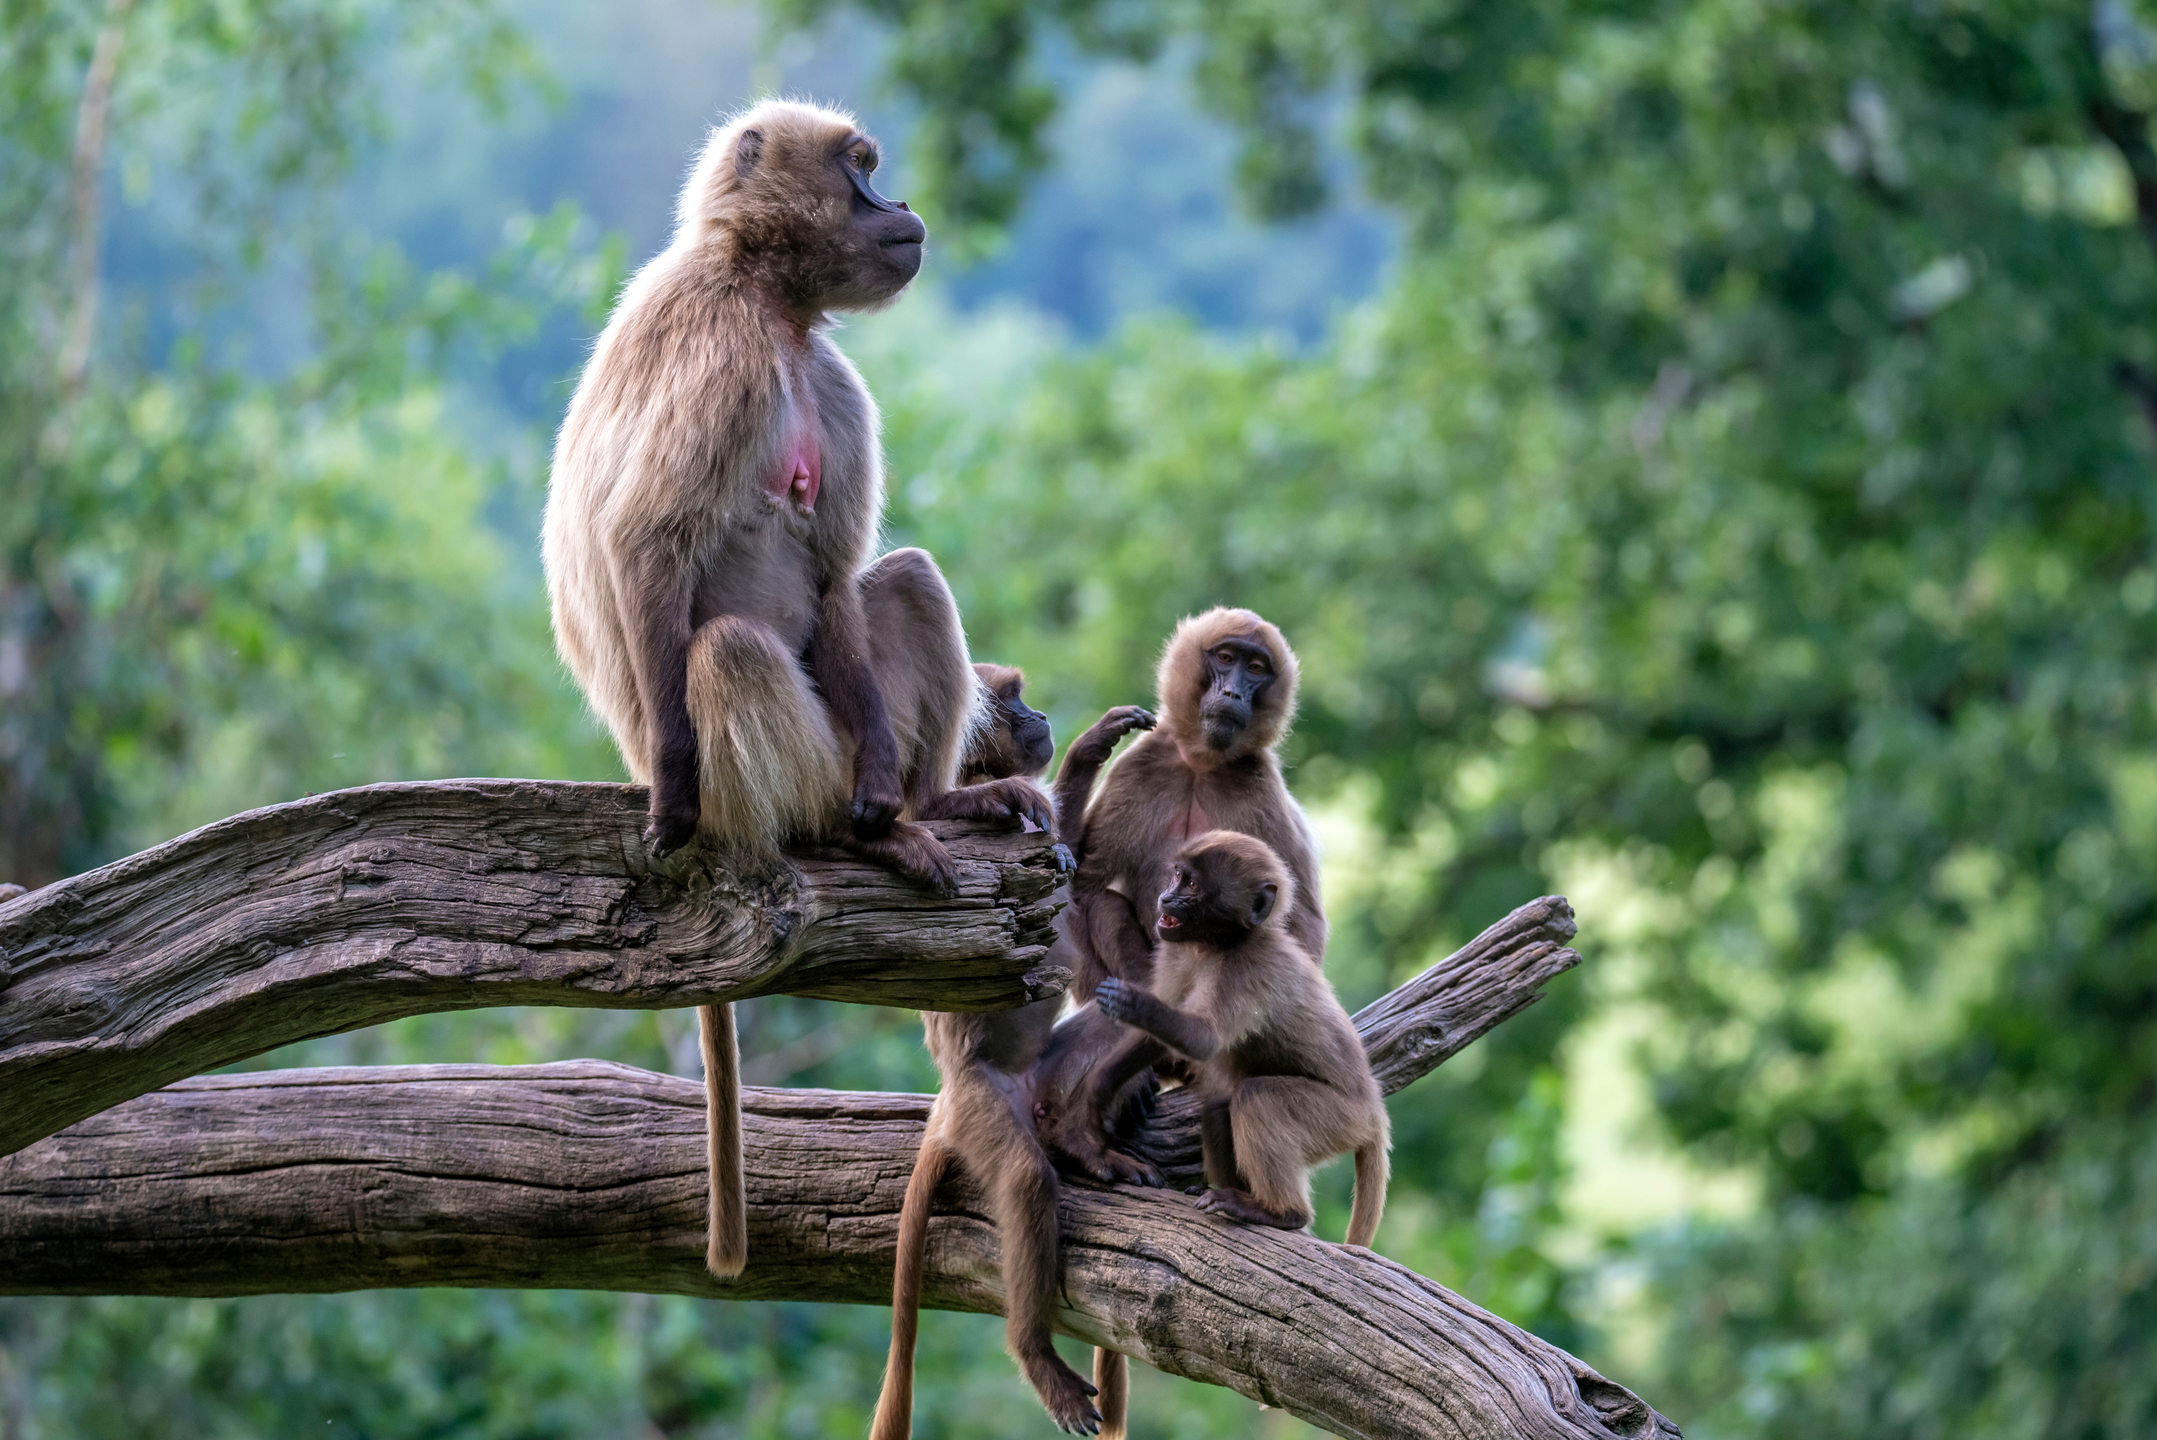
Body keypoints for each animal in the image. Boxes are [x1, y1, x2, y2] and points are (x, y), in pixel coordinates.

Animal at [542, 100, 1046, 1282]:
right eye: (858, 169)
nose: (901, 204)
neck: (769, 303)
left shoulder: (829, 382)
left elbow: (832, 581)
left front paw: (909, 799)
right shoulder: (722, 359)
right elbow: (645, 541)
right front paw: (675, 795)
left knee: (902, 580)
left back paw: (925, 806)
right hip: (762, 777)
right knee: (726, 650)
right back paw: (846, 831)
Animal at [873, 670, 1103, 1439]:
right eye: (1014, 697)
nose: (1041, 715)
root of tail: (945, 1104)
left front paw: (1090, 754)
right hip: (983, 1104)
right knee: (1027, 1181)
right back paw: (1035, 1354)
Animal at [1034, 608, 1325, 1187]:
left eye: (1257, 668)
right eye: (1226, 657)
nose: (1234, 692)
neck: (1202, 763)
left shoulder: (1259, 787)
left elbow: (1297, 922)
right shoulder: (1148, 762)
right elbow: (1082, 885)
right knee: (1105, 906)